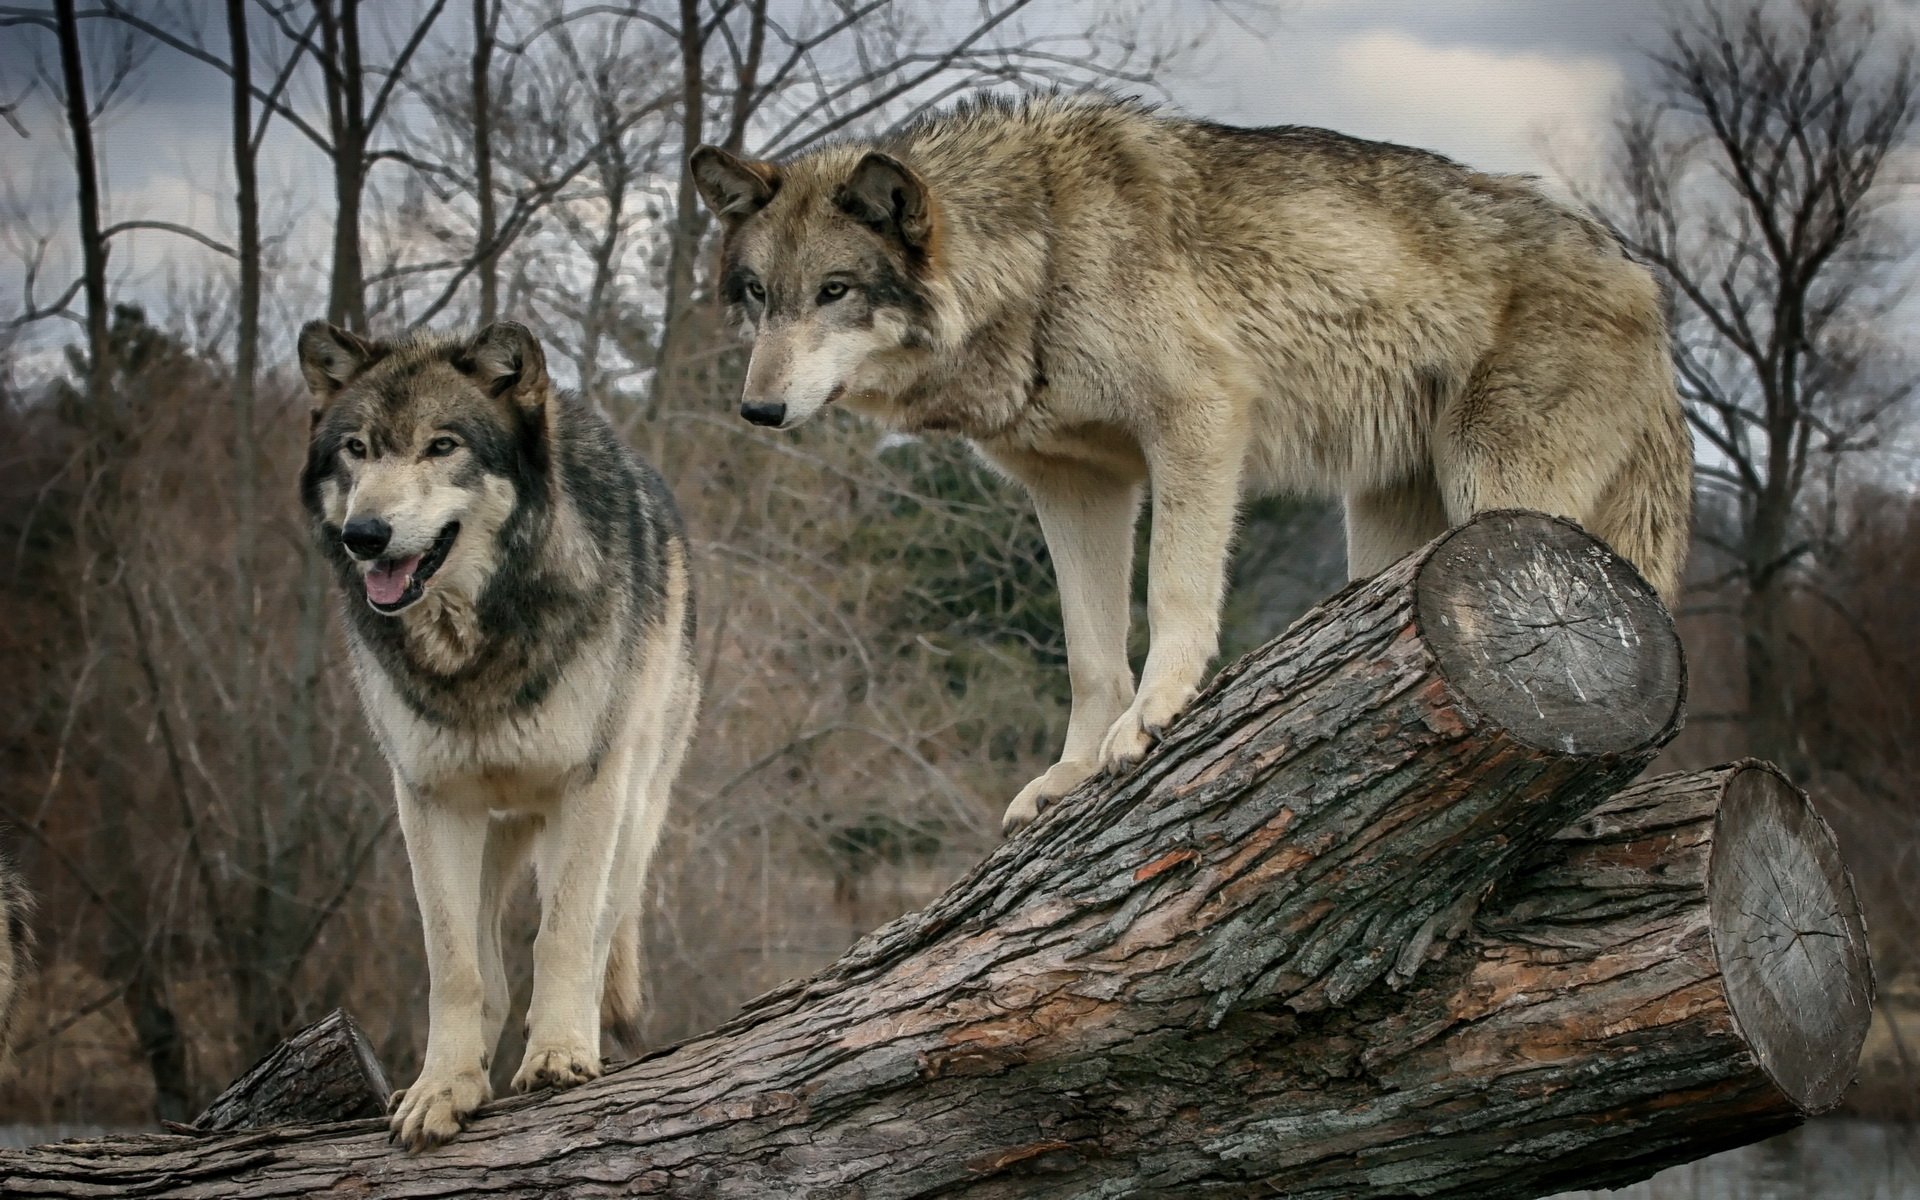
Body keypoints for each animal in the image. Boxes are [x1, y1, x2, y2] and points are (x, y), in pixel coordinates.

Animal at [298, 320, 699, 1151]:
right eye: (356, 449)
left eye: (442, 446)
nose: (365, 534)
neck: (474, 646)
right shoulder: (430, 800)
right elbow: (454, 963)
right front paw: (444, 1086)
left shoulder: (590, 787)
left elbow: (564, 934)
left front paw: (559, 1054)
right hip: (491, 831)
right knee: (486, 964)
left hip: (632, 812)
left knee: (600, 928)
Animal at [690, 92, 1693, 834]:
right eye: (759, 295)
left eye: (835, 291)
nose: (757, 409)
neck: (1042, 256)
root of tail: (1641, 278)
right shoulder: (1076, 486)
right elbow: (1090, 654)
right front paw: (1071, 772)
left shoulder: (1198, 420)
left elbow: (1173, 590)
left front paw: (1156, 717)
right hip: (1389, 549)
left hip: (1495, 497)